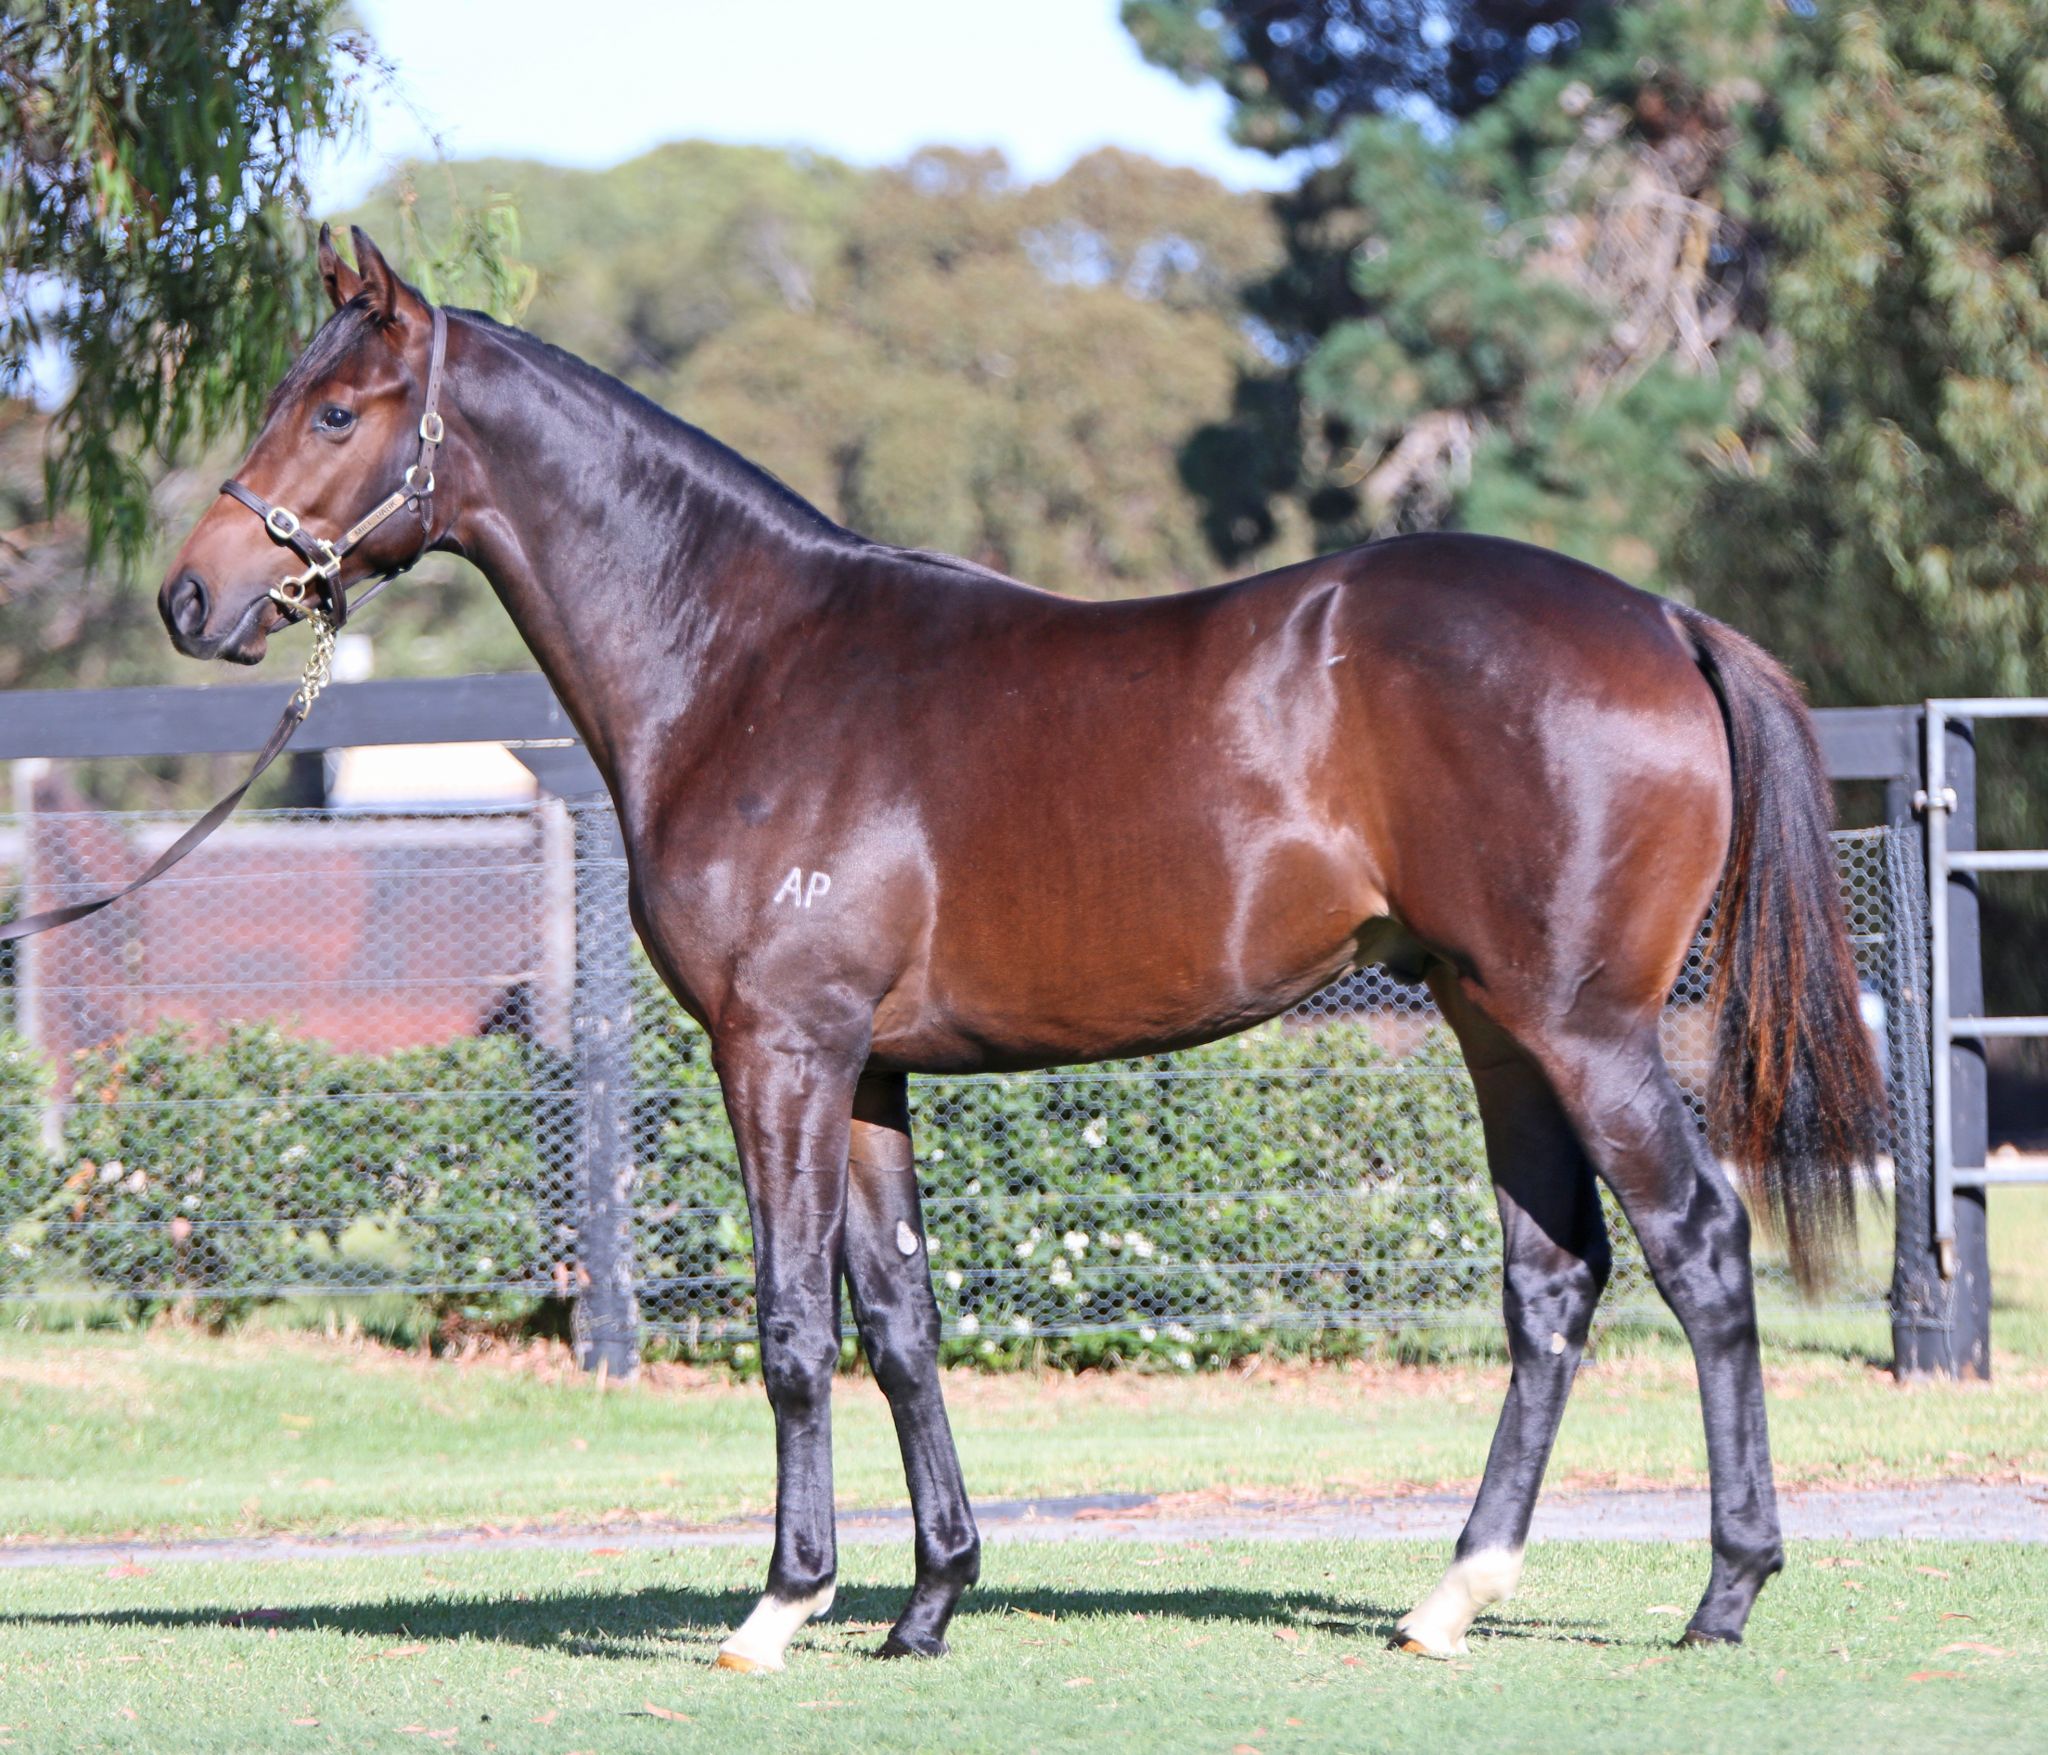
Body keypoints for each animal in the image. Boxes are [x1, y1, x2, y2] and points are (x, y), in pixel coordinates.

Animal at [159, 227, 1882, 1671]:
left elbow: (792, 1325)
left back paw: (1725, 1589)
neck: (746, 662)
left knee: (1699, 1247)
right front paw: (926, 1598)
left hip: (1583, 1025)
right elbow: (901, 1321)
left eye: (337, 410)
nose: (192, 596)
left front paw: (780, 1603)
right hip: (1492, 1021)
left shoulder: (777, 1050)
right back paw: (1452, 1593)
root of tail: (1661, 620)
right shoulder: (865, 1073)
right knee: (1555, 1277)